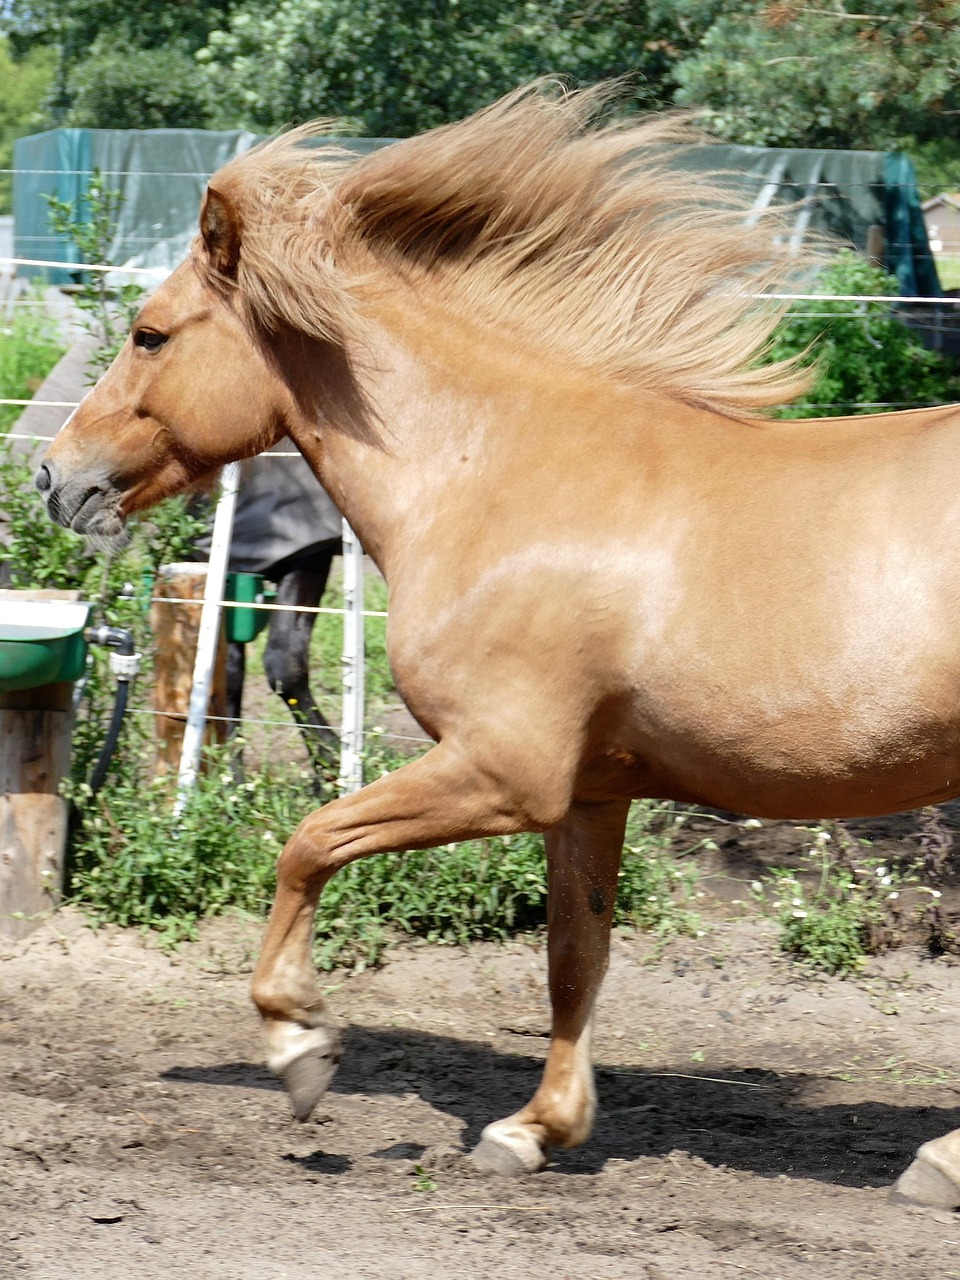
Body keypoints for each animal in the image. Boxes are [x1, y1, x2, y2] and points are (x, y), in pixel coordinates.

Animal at [34, 83, 960, 1196]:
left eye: (151, 335)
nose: (54, 478)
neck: (503, 475)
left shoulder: (503, 769)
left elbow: (309, 840)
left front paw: (300, 1044)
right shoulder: (589, 791)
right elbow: (574, 955)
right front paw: (537, 1128)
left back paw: (940, 1163)